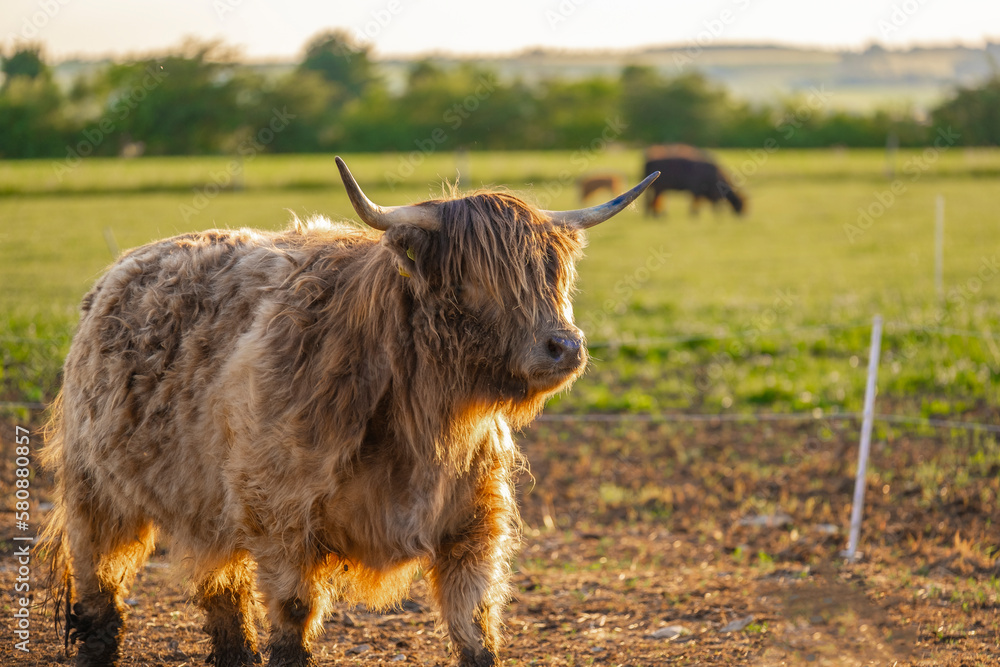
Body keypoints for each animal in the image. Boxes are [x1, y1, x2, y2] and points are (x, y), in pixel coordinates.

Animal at [40, 157, 658, 667]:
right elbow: (293, 623)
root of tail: (123, 268)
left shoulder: (473, 530)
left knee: (223, 598)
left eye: (553, 273)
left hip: (210, 509)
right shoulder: (282, 519)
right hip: (98, 493)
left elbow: (476, 630)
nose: (566, 346)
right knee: (99, 587)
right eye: (477, 280)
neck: (425, 428)